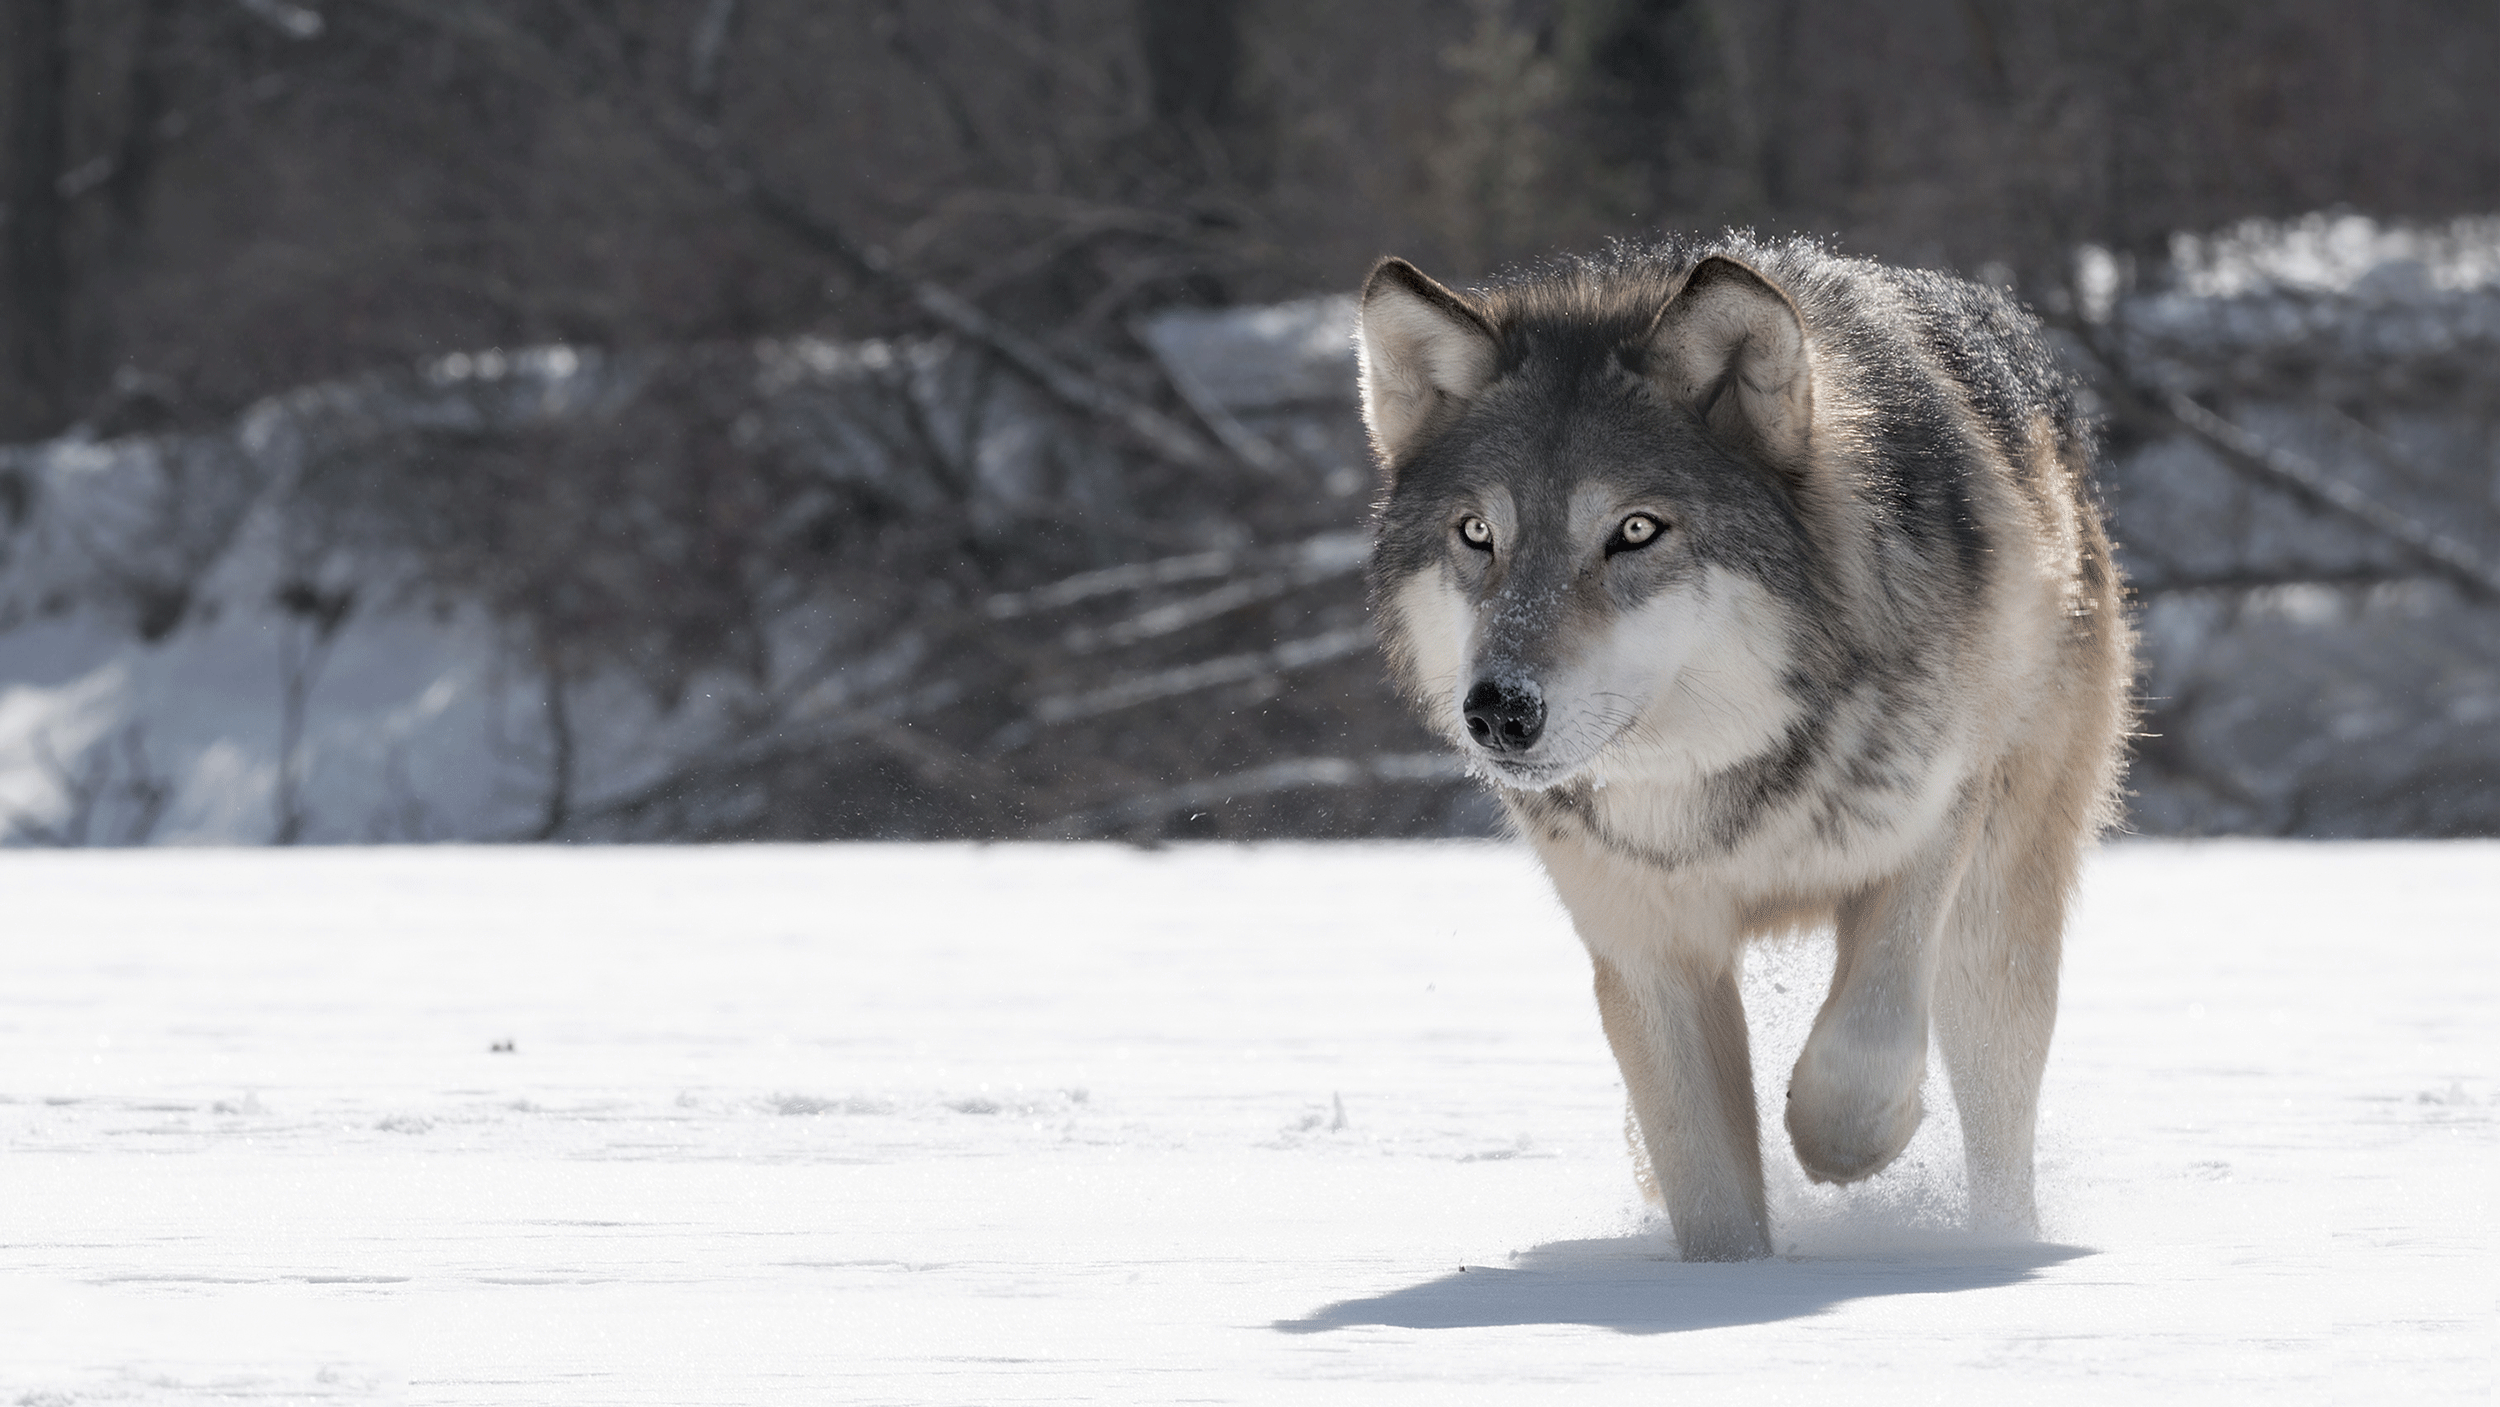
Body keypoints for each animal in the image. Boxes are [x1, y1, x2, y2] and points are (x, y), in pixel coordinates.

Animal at [1356, 236, 2132, 1261]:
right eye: (1477, 532)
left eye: (1635, 529)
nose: (1499, 710)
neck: (1723, 782)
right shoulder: (1649, 954)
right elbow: (1708, 1188)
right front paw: (1730, 1284)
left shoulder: (1938, 814)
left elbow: (1861, 1054)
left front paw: (1844, 1148)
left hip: (1999, 918)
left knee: (1997, 1107)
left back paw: (1997, 1243)